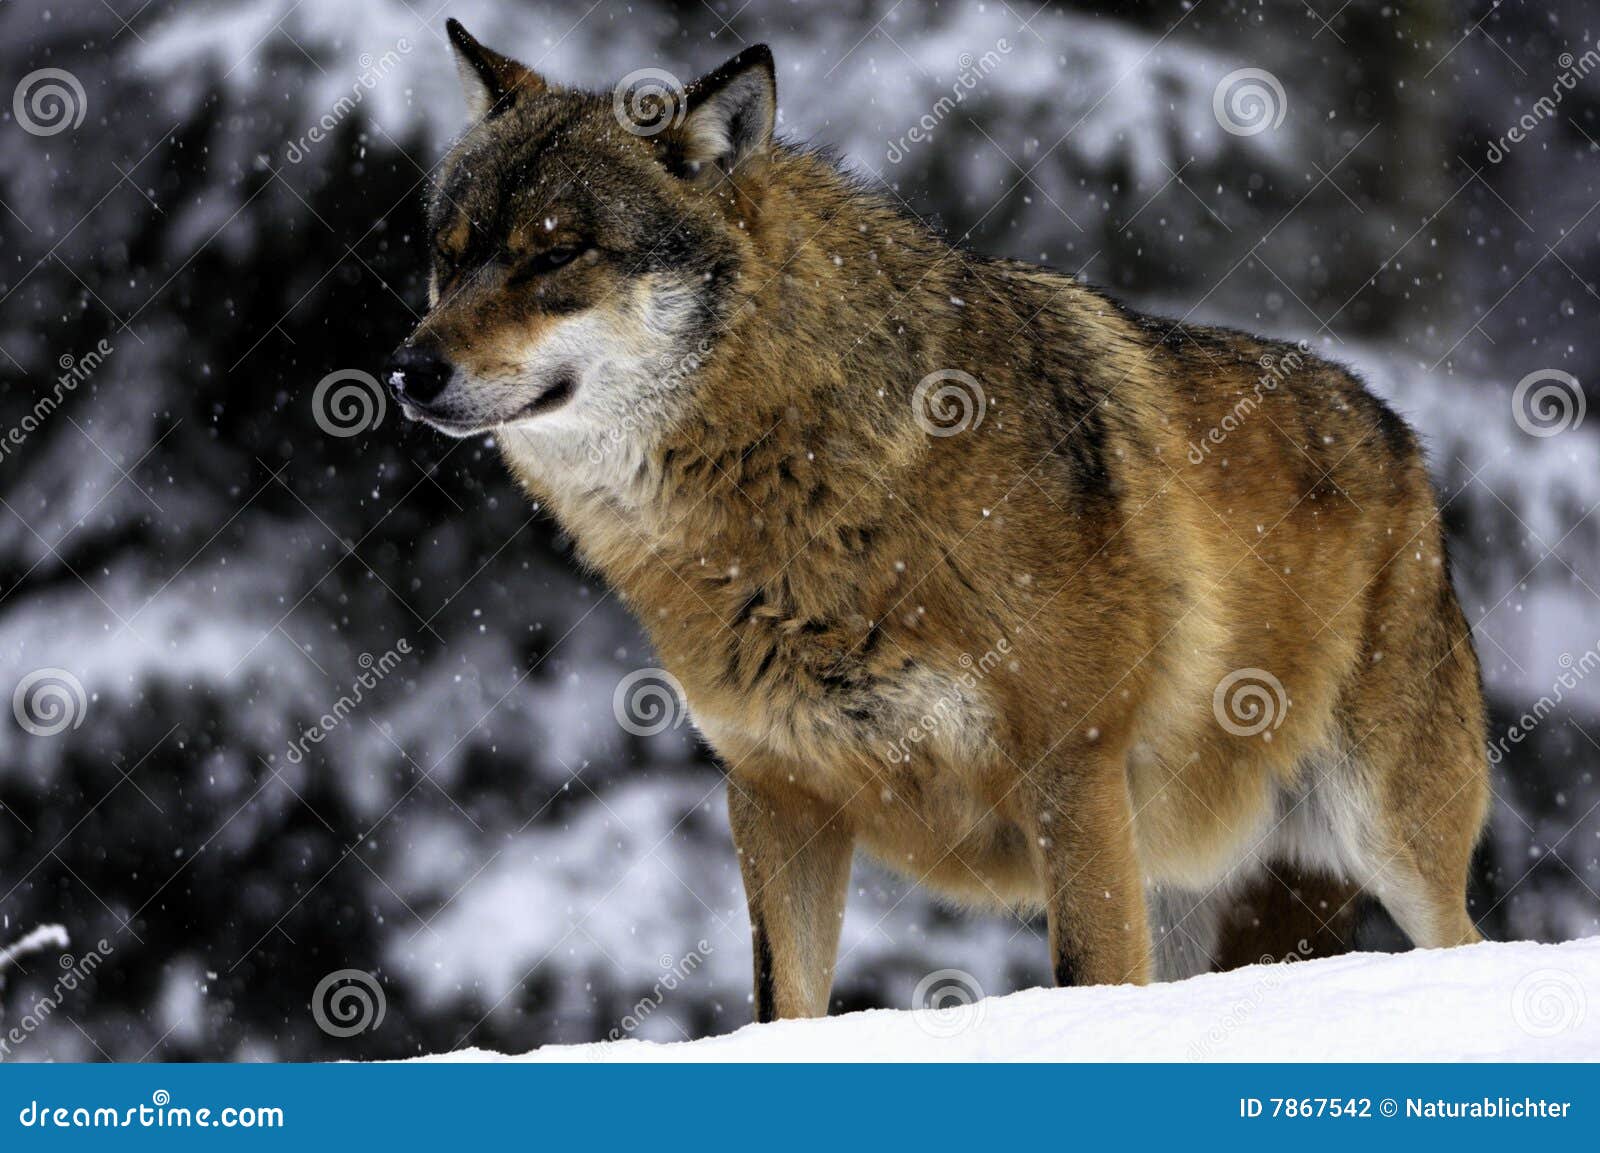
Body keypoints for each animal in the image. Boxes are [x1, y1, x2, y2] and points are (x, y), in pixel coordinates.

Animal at [383, 21, 1489, 1021]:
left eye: (557, 254)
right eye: (449, 257)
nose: (407, 370)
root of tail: (1399, 433)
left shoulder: (1074, 770)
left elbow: (1087, 978)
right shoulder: (775, 795)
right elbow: (783, 1003)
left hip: (1385, 841)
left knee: (1469, 941)